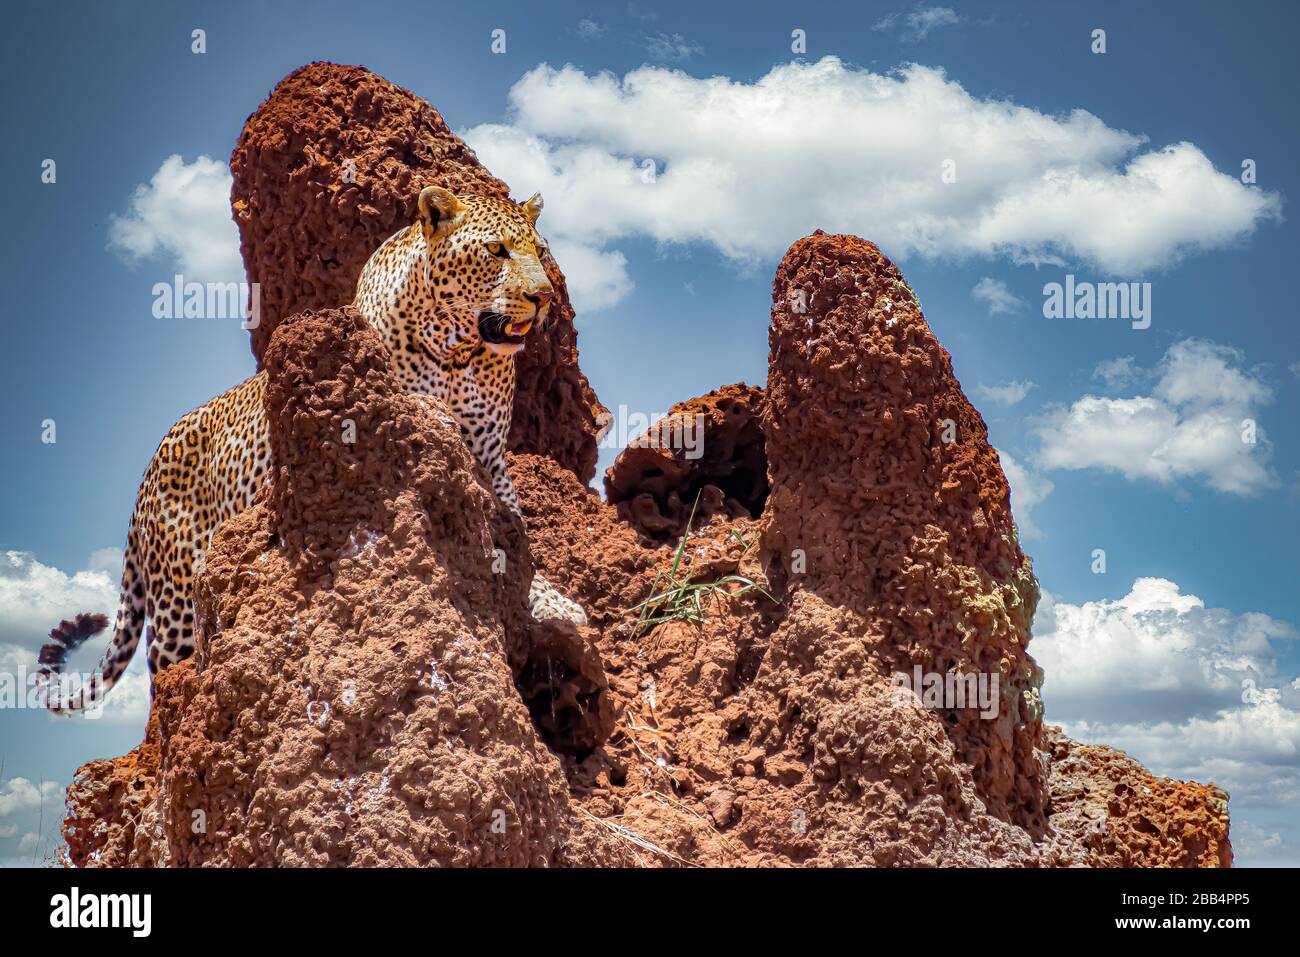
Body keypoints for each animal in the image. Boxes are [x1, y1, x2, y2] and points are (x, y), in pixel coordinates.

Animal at [37, 186, 586, 712]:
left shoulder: (489, 454)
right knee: (168, 670)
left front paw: (549, 599)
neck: (462, 354)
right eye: (496, 251)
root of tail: (146, 475)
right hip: (175, 604)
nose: (542, 297)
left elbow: (516, 529)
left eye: (539, 251)